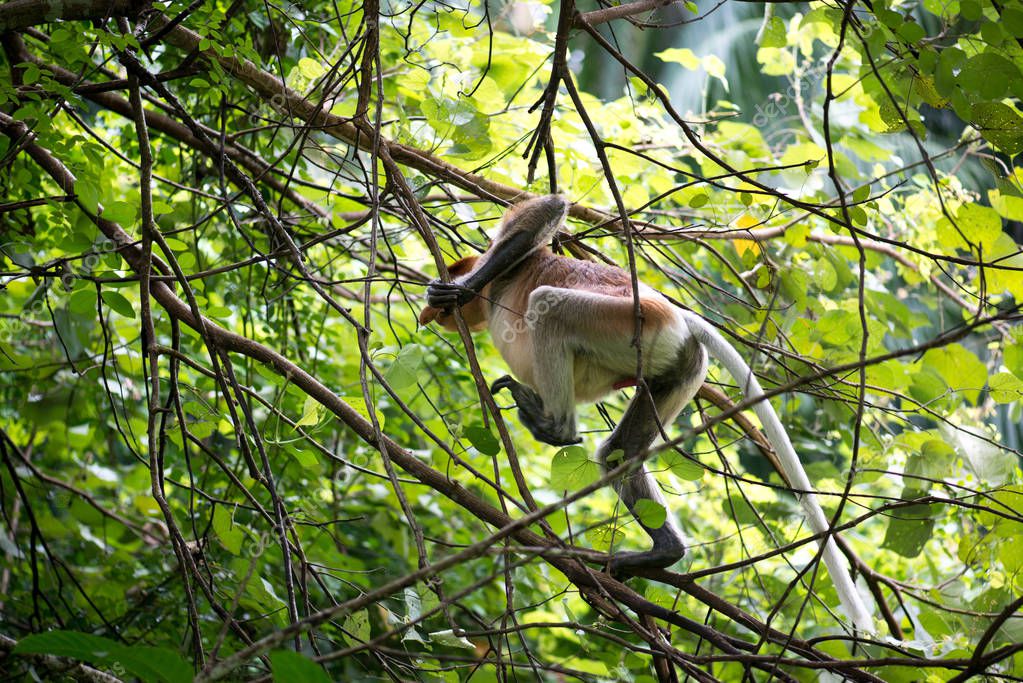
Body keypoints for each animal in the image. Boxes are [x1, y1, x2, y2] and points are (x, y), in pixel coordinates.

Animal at [419, 194, 873, 631]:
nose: (430, 317)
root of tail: (679, 316)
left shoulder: (510, 265)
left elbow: (545, 211)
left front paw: (458, 291)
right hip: (681, 368)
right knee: (619, 452)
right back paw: (662, 553)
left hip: (624, 320)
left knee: (550, 304)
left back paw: (552, 424)